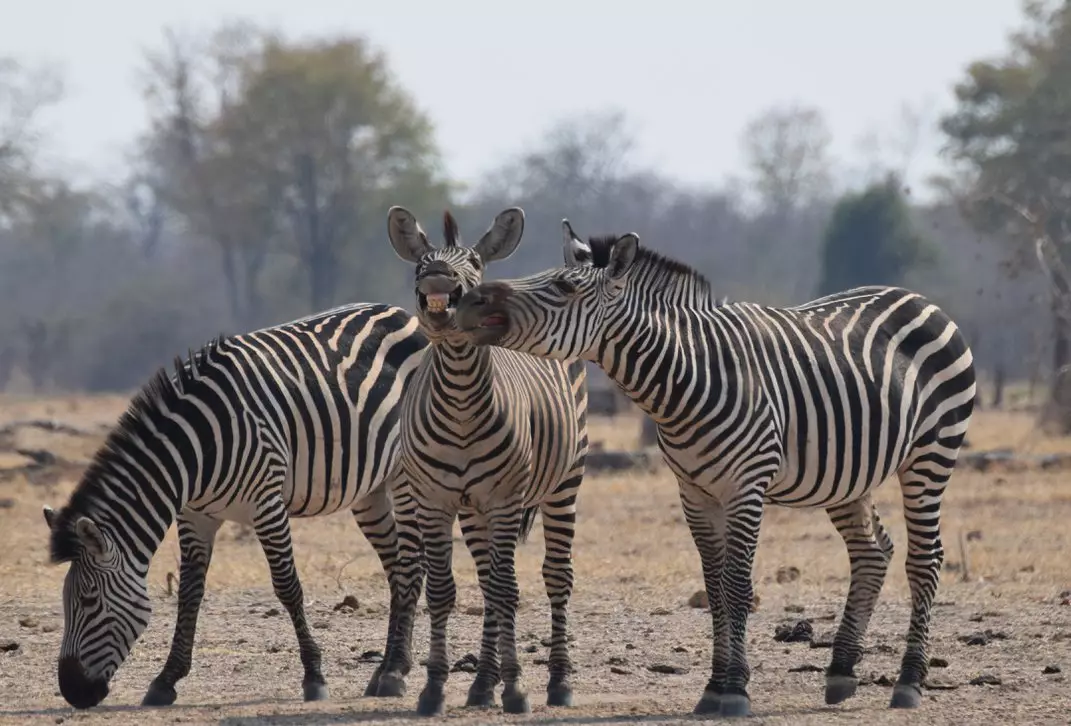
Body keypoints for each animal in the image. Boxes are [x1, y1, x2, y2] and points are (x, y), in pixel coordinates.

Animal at [40, 301, 426, 711]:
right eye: (66, 601)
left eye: (89, 601)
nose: (72, 691)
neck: (195, 451)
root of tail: (401, 312)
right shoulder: (195, 516)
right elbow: (189, 593)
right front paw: (166, 680)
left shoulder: (266, 504)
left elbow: (287, 587)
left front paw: (314, 676)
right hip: (371, 490)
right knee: (396, 569)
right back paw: (385, 669)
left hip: (404, 475)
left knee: (409, 566)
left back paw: (395, 672)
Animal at [383, 207, 586, 719]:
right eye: (423, 262)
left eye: (473, 262)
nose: (438, 277)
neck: (458, 399)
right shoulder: (434, 500)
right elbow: (444, 591)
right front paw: (435, 688)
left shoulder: (506, 499)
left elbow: (508, 590)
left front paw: (516, 688)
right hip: (473, 510)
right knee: (486, 579)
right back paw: (481, 685)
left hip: (564, 484)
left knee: (555, 577)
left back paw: (557, 681)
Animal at [456, 223, 976, 723]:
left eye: (562, 287)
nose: (470, 300)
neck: (689, 379)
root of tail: (918, 299)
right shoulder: (695, 492)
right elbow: (714, 587)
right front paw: (713, 687)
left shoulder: (746, 487)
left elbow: (738, 586)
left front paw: (737, 691)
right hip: (849, 475)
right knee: (872, 552)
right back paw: (842, 671)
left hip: (932, 453)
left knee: (925, 559)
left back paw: (908, 682)